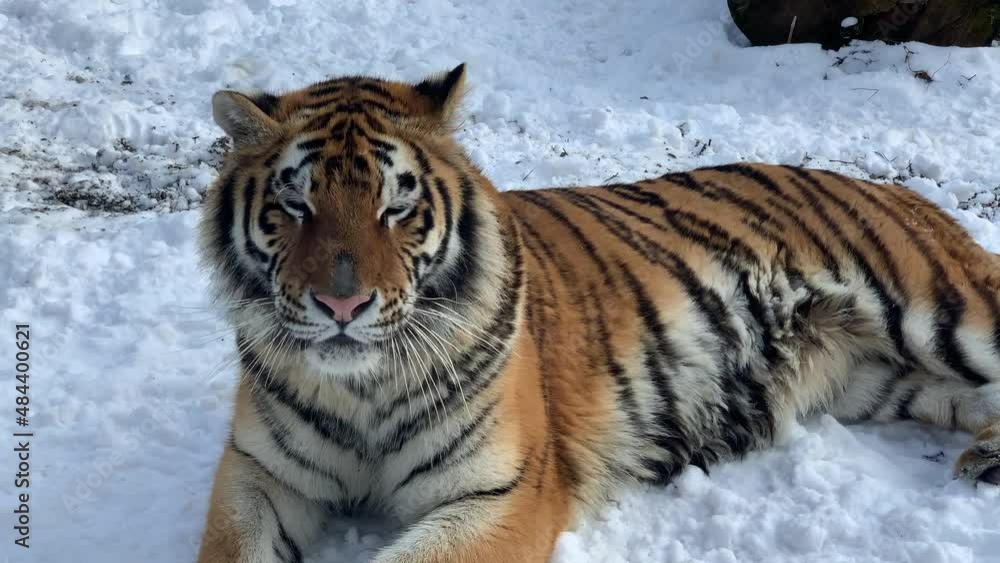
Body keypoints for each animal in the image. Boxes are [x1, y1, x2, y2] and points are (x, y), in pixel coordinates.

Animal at [196, 63, 1000, 563]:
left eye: (397, 207)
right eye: (294, 205)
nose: (343, 303)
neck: (361, 387)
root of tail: (906, 195)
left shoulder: (502, 490)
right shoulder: (257, 473)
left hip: (937, 308)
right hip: (879, 378)